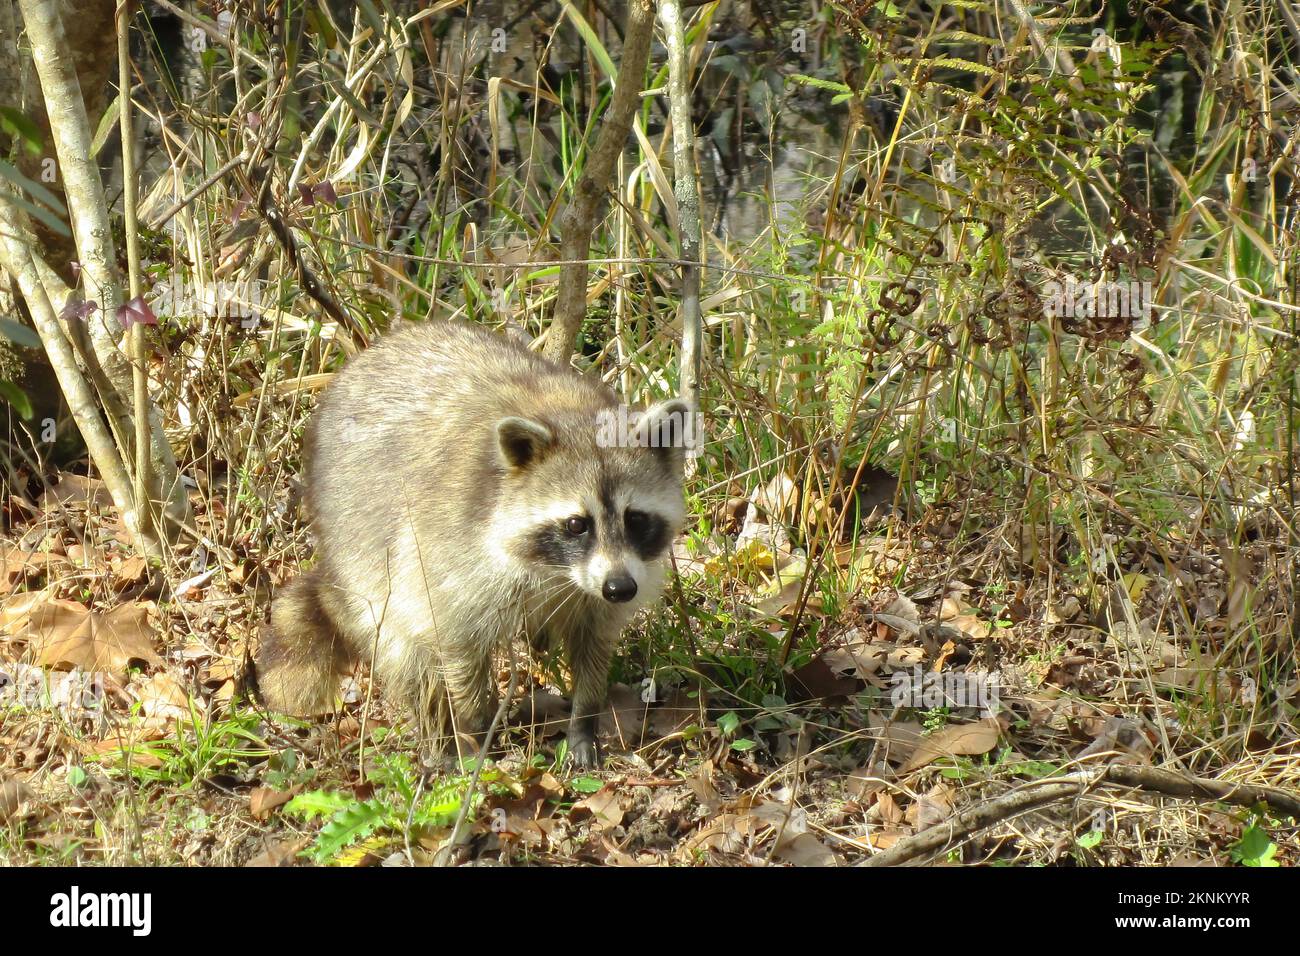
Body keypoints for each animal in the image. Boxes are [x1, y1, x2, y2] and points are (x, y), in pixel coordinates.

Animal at [256, 320, 689, 766]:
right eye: (576, 525)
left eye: (635, 519)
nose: (620, 588)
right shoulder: (450, 553)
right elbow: (456, 644)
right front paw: (477, 731)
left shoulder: (599, 589)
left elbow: (593, 643)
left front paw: (584, 720)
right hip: (361, 549)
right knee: (407, 653)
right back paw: (439, 742)